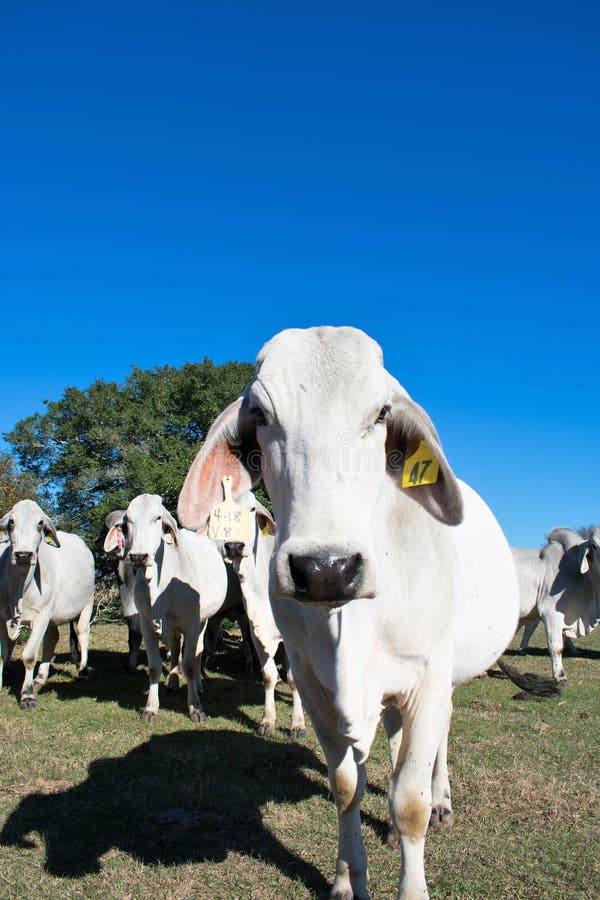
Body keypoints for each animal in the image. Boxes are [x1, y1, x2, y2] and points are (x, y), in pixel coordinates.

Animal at [0, 499, 94, 708]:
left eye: (39, 524)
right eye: (11, 522)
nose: (23, 555)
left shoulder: (41, 615)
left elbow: (28, 656)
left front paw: (27, 695)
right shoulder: (2, 617)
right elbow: (2, 653)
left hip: (86, 604)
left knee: (82, 634)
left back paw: (83, 672)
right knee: (52, 637)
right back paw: (41, 676)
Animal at [177, 325, 521, 900]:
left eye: (382, 413)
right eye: (261, 414)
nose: (326, 569)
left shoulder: (427, 679)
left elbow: (410, 803)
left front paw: (413, 878)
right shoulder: (313, 684)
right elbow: (344, 786)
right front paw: (345, 879)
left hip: (446, 678)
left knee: (437, 744)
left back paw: (443, 799)